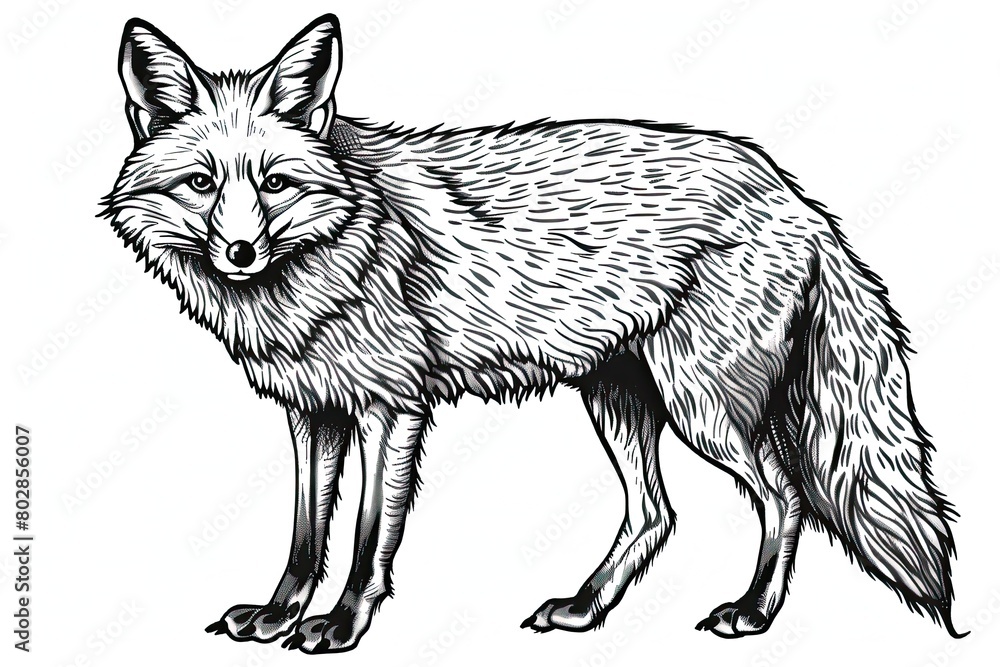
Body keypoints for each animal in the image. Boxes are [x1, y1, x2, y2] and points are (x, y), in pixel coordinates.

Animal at [102, 14, 964, 653]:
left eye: (275, 183)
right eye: (201, 183)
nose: (241, 252)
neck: (335, 250)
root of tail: (795, 193)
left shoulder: (392, 408)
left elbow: (366, 537)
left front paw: (341, 623)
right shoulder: (313, 412)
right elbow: (305, 536)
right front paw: (279, 614)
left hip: (704, 408)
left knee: (787, 496)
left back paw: (752, 611)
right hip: (618, 399)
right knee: (656, 514)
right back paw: (587, 607)